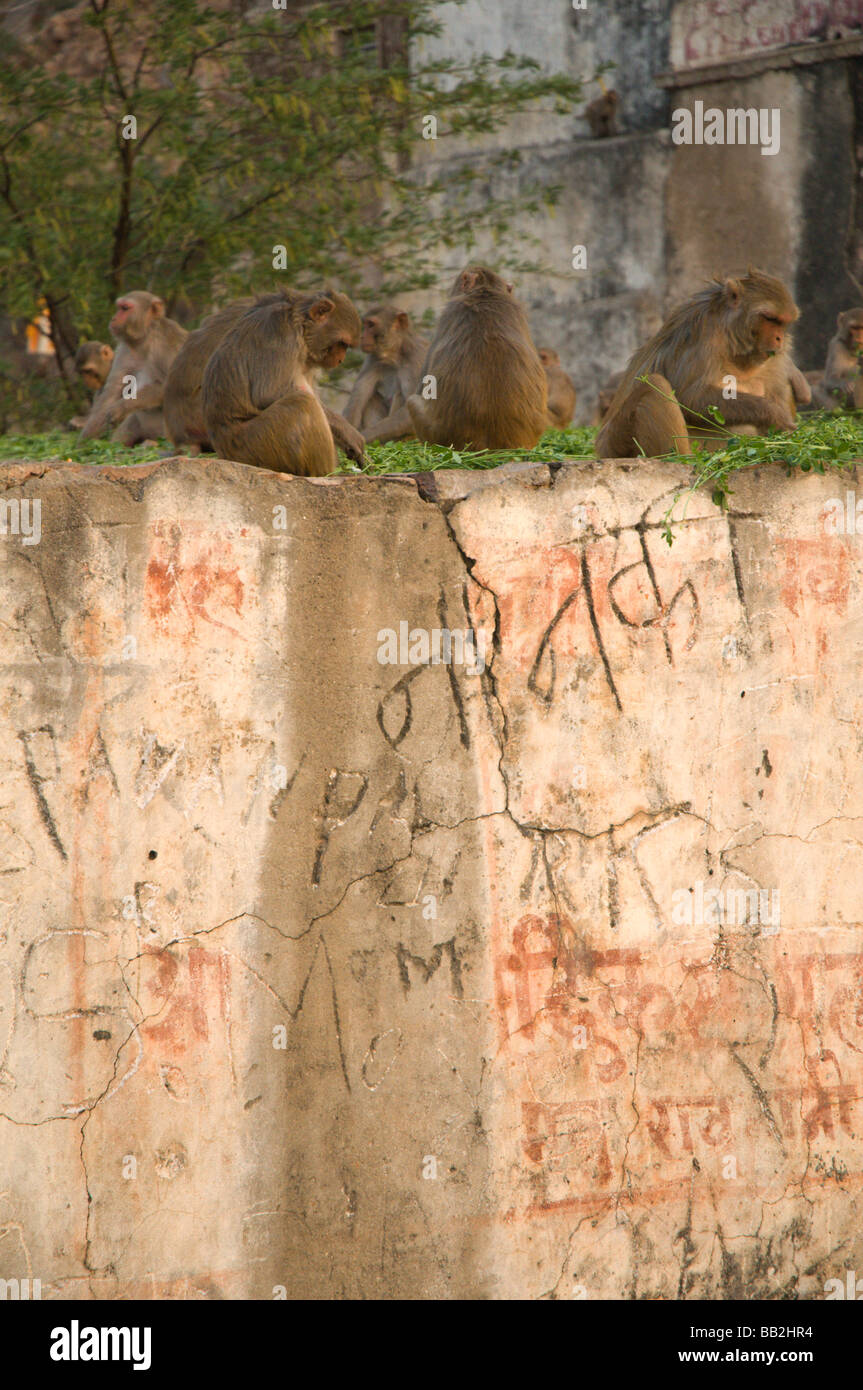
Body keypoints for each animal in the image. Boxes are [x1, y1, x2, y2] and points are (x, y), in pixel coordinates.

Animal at [79, 292, 186, 444]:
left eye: (125, 308)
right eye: (119, 307)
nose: (114, 318)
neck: (144, 339)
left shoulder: (167, 342)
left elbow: (174, 385)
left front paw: (122, 407)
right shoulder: (124, 350)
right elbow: (111, 394)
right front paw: (83, 442)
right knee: (133, 419)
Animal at [164, 295, 365, 463]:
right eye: (342, 343)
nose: (341, 359)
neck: (300, 326)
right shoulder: (281, 334)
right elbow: (269, 394)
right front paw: (348, 431)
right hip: (253, 446)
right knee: (301, 403)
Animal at [596, 269, 801, 459]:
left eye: (782, 323)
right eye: (769, 318)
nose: (779, 338)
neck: (734, 342)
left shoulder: (777, 356)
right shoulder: (706, 335)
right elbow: (691, 397)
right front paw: (773, 413)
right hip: (618, 440)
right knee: (656, 386)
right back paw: (684, 460)